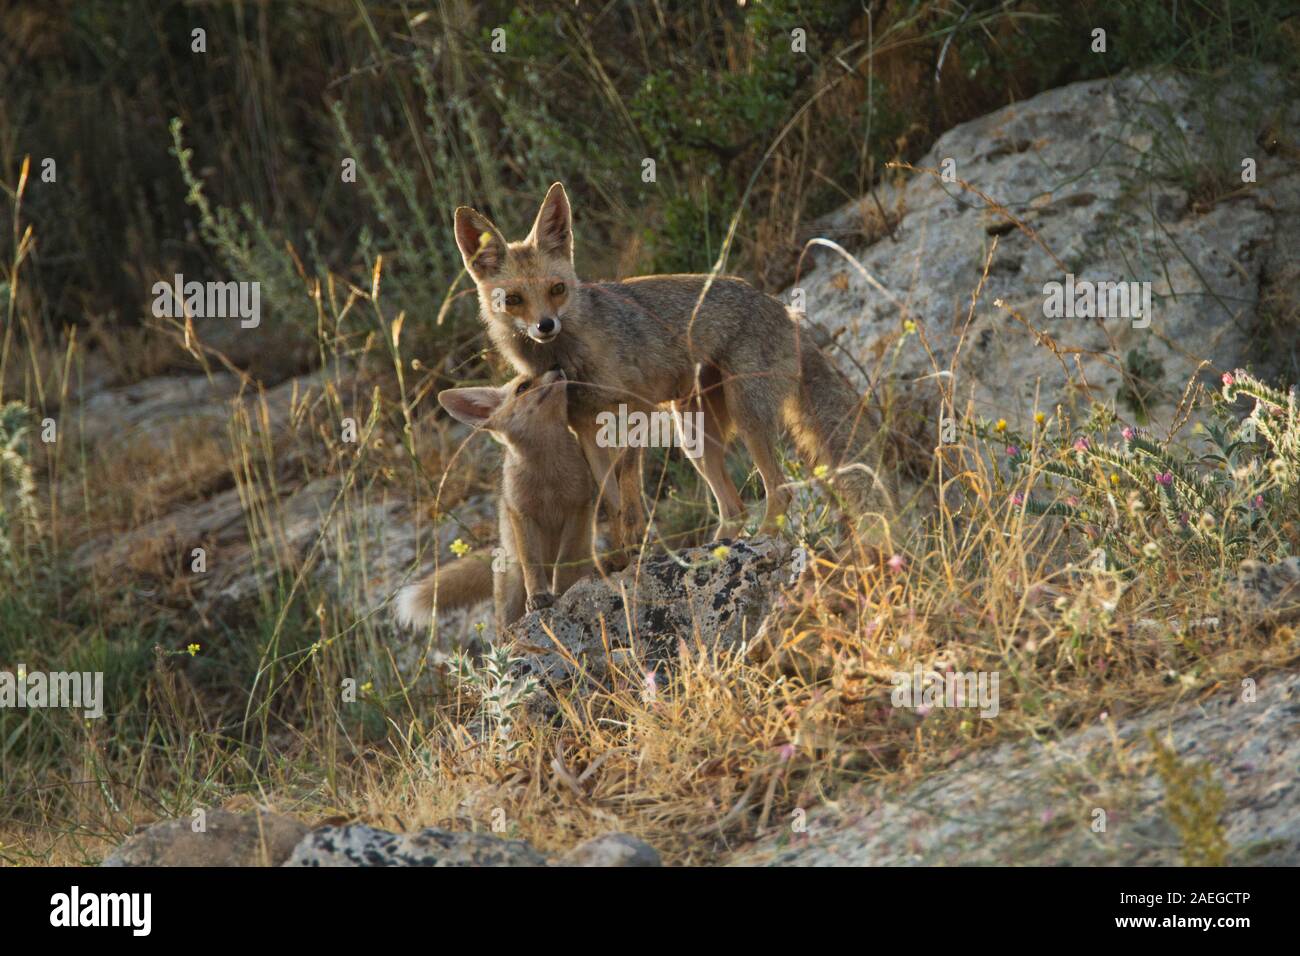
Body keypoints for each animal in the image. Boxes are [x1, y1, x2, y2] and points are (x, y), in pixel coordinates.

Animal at [394, 368, 596, 632]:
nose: (557, 368)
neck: (546, 478)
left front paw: (564, 593)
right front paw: (539, 596)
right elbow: (532, 564)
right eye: (523, 387)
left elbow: (565, 562)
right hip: (509, 599)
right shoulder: (521, 513)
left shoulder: (577, 506)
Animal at [452, 182, 890, 546]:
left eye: (557, 289)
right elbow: (610, 499)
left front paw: (633, 538)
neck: (569, 358)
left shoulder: (637, 409)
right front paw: (622, 555)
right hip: (694, 436)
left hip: (744, 416)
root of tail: (785, 309)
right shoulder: (584, 428)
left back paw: (760, 539)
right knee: (735, 508)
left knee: (778, 491)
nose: (546, 326)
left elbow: (628, 485)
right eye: (513, 300)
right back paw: (712, 549)